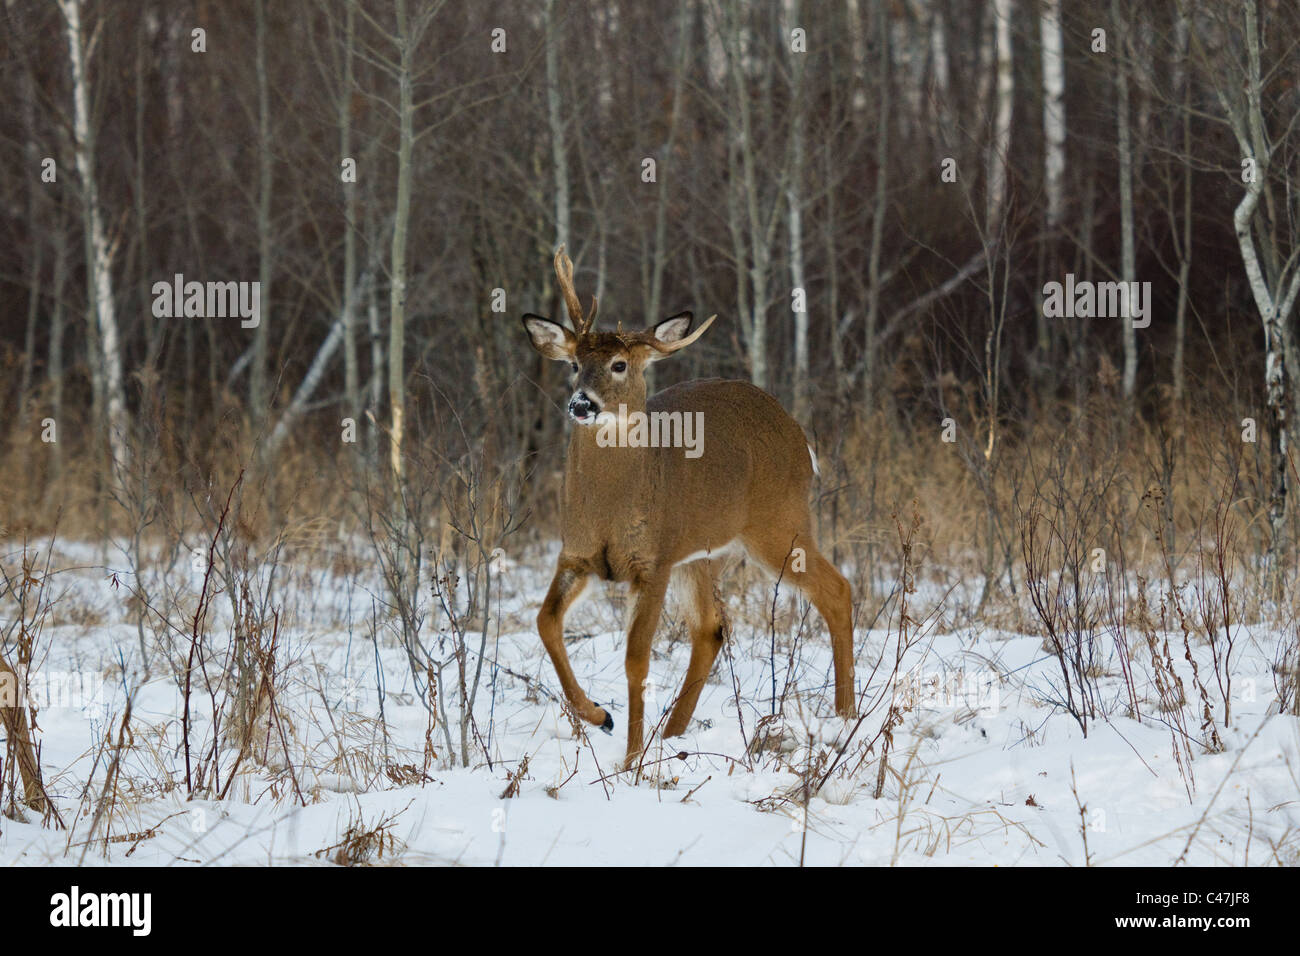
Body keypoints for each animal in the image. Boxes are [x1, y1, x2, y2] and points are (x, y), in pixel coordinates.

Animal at [522, 247, 855, 770]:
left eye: (620, 364)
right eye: (574, 363)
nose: (581, 404)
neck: (610, 508)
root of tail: (801, 437)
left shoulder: (652, 562)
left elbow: (636, 658)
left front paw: (629, 760)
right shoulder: (576, 554)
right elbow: (545, 622)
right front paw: (601, 717)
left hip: (780, 525)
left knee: (837, 590)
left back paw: (844, 716)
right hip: (701, 554)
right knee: (712, 628)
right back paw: (672, 734)